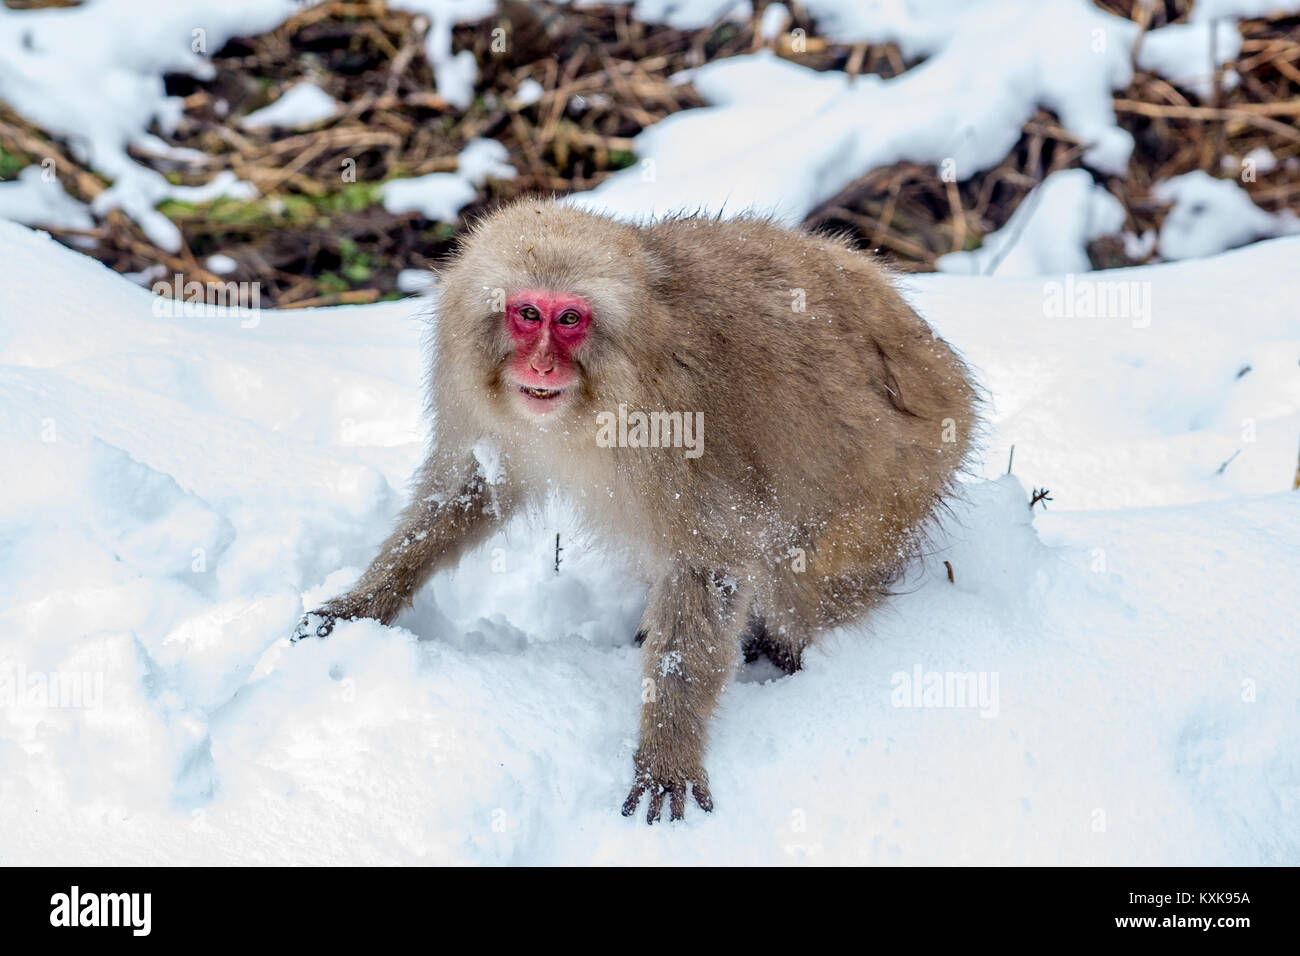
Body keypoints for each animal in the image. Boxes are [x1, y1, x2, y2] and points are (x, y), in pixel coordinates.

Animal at [295, 200, 978, 824]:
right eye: (527, 314)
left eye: (570, 319)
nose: (541, 364)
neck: (598, 397)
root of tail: (942, 367)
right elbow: (471, 488)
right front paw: (363, 603)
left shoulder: (680, 418)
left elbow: (712, 564)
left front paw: (668, 748)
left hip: (895, 488)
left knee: (799, 585)